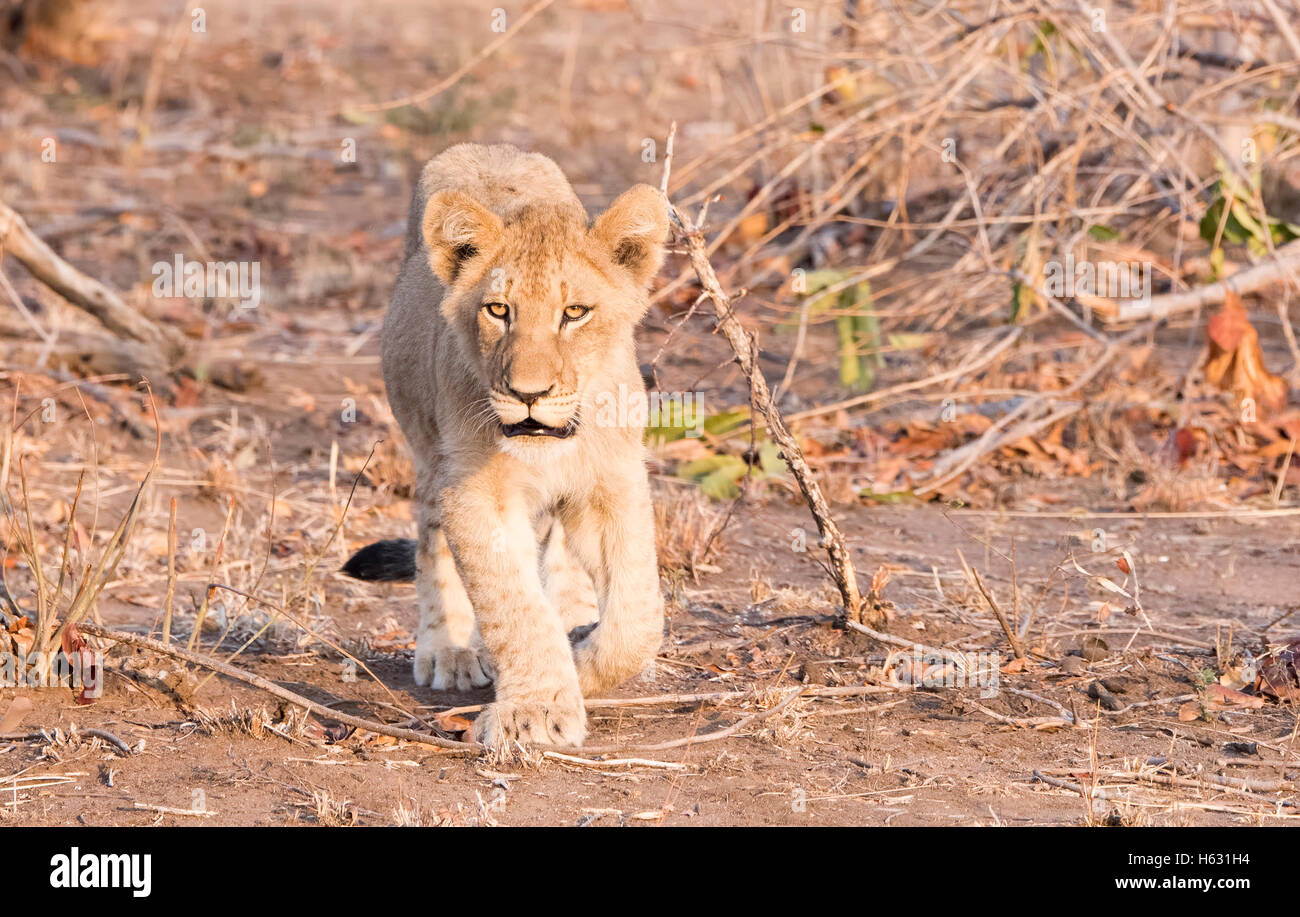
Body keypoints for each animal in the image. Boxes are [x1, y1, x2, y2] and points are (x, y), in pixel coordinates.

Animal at [343, 143, 668, 749]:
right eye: (499, 310)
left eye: (574, 313)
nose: (528, 394)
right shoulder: (475, 492)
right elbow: (512, 605)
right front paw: (537, 709)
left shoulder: (612, 480)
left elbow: (637, 617)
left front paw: (581, 661)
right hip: (429, 452)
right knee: (431, 544)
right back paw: (448, 651)